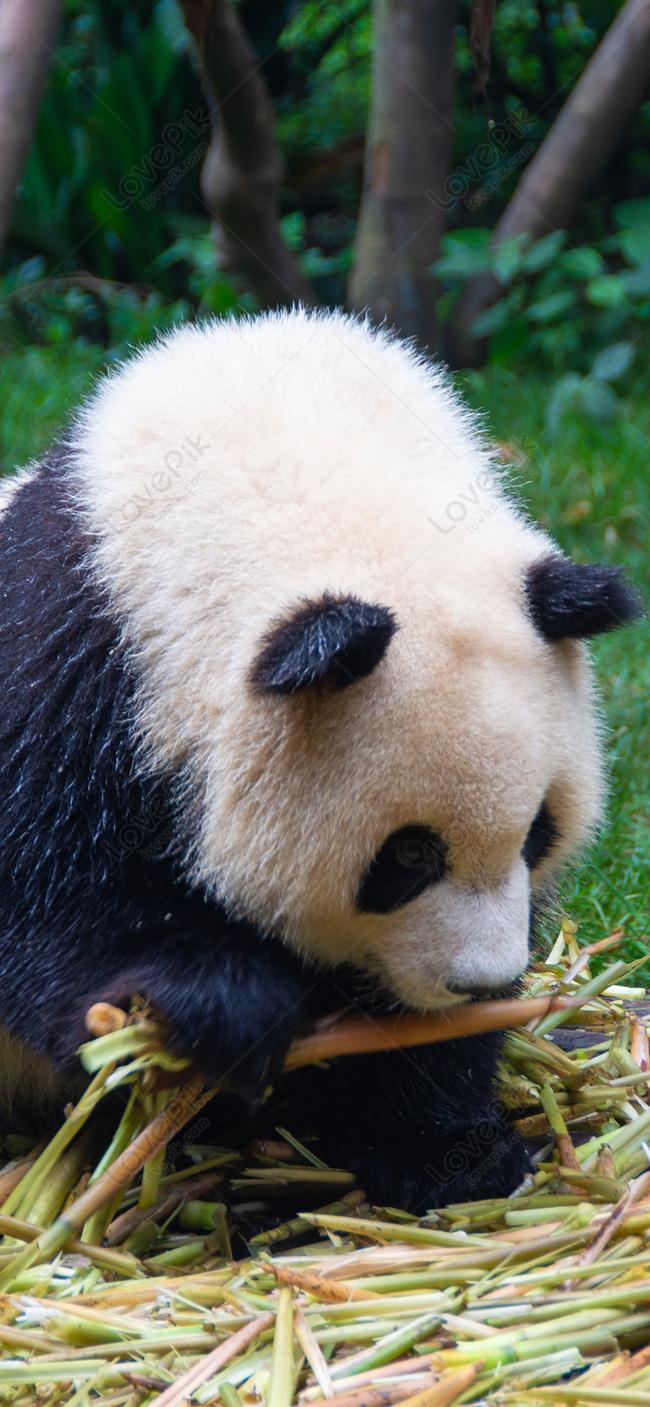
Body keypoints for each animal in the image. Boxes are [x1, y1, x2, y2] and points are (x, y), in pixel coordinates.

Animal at [0, 309, 641, 1210]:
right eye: (406, 855)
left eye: (536, 834)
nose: (480, 983)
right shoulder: (74, 658)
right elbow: (48, 907)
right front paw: (225, 1008)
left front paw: (446, 1147)